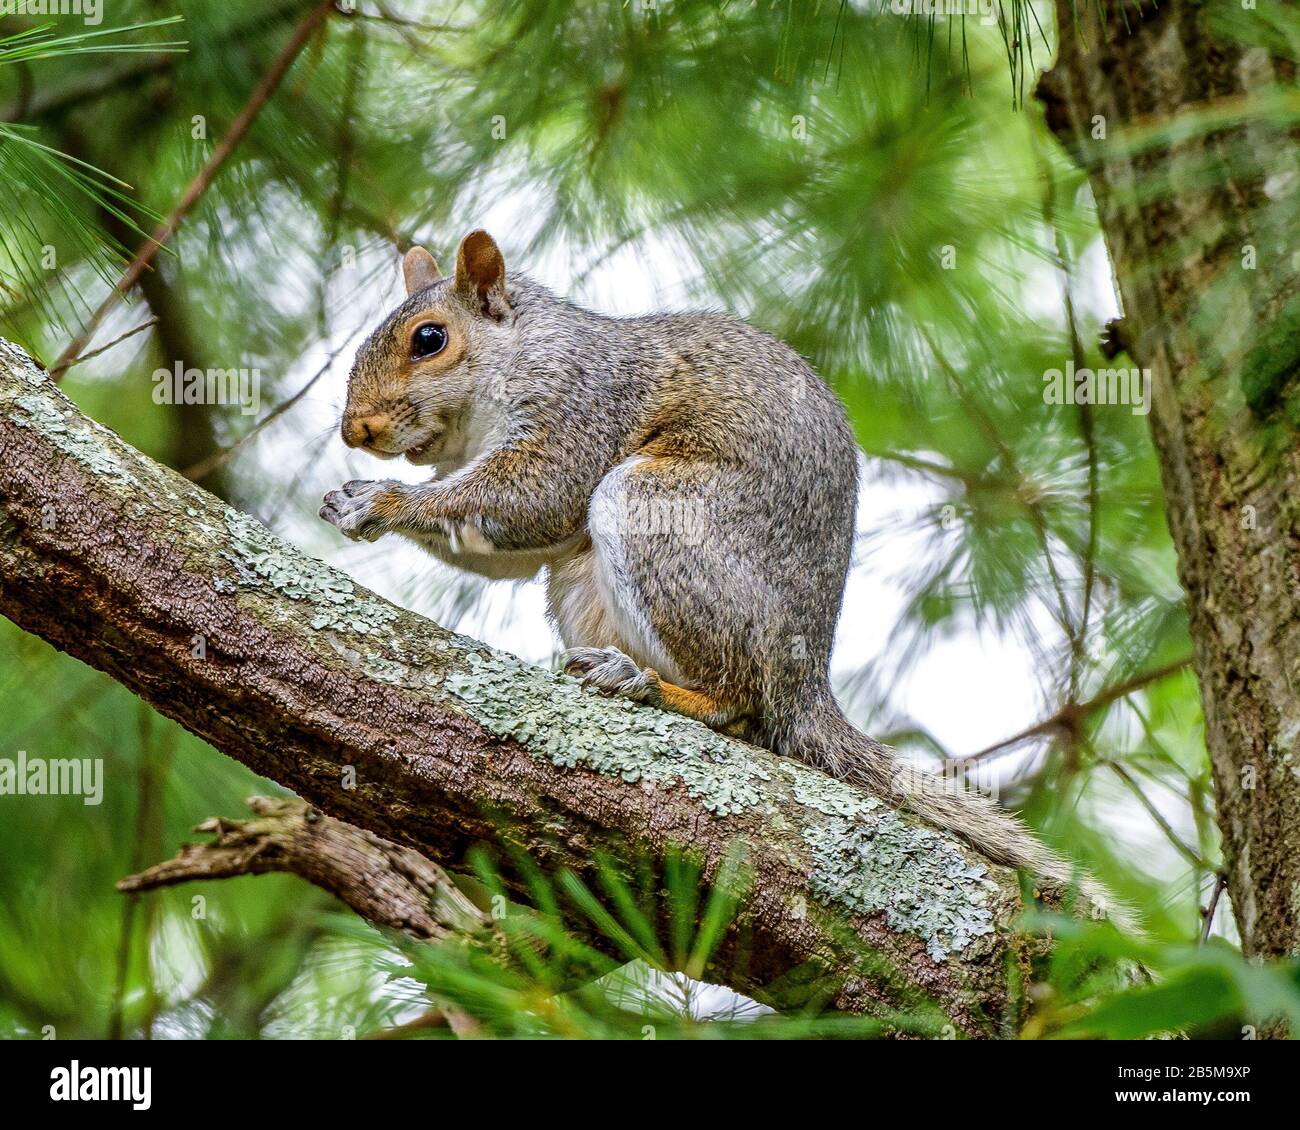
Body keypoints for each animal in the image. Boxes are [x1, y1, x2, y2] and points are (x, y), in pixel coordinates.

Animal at [321, 229, 1119, 919]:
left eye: (430, 339)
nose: (355, 429)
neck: (517, 357)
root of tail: (805, 675)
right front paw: (352, 501)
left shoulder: (579, 405)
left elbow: (538, 495)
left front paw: (383, 499)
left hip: (657, 515)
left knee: (739, 703)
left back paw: (648, 685)